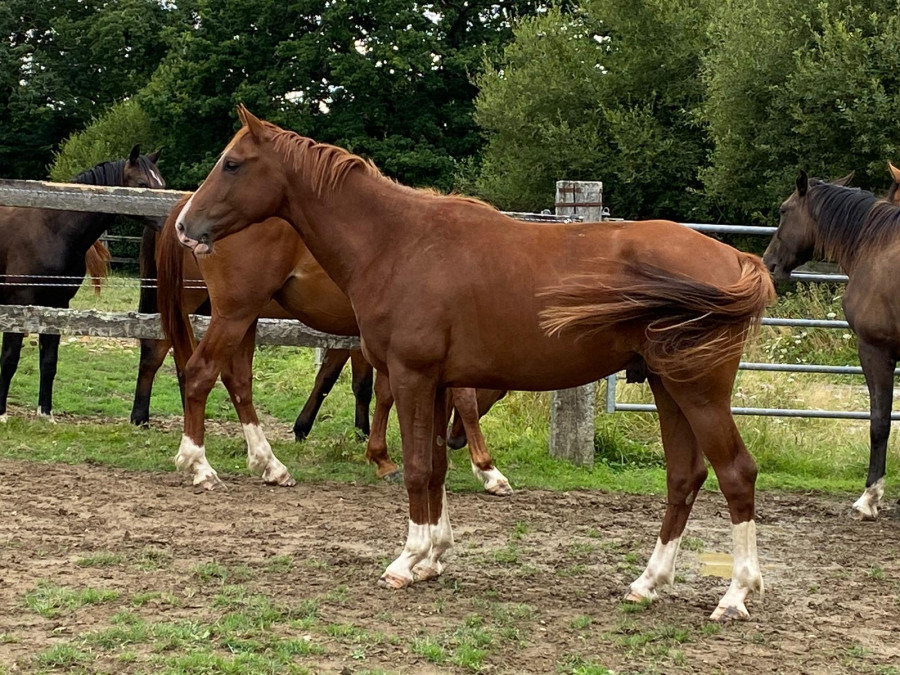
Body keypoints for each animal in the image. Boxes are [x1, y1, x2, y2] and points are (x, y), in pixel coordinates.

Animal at [0, 146, 164, 422]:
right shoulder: (19, 304)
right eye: (142, 184)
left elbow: (49, 361)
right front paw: (1, 413)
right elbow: (10, 359)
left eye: (162, 184)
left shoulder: (57, 304)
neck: (51, 230)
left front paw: (45, 413)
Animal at [155, 197, 512, 494]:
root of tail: (188, 203)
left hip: (246, 316)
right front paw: (488, 469)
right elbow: (462, 400)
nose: (454, 441)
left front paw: (380, 457)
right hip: (233, 314)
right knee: (200, 372)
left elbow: (382, 393)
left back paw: (270, 465)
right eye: (497, 391)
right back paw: (201, 467)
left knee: (238, 381)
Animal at [765, 170, 900, 520]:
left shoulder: (875, 350)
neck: (876, 245)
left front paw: (869, 498)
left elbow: (879, 422)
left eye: (784, 210)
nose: (769, 262)